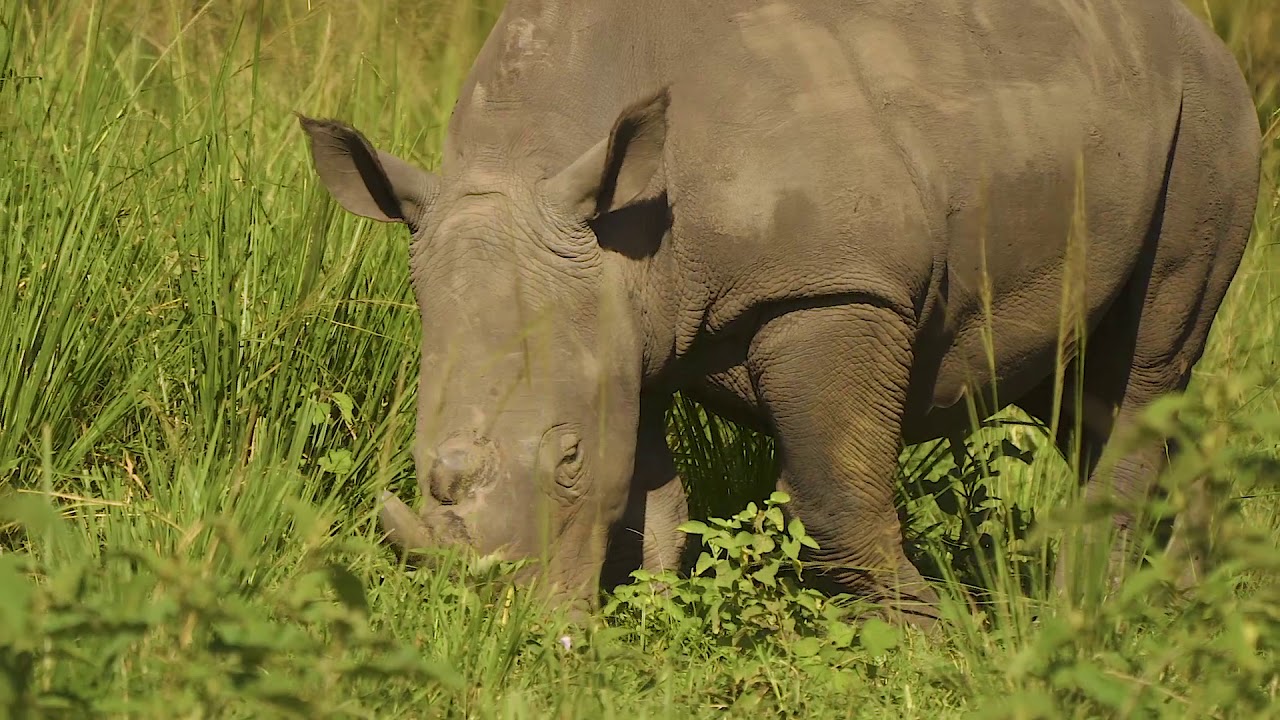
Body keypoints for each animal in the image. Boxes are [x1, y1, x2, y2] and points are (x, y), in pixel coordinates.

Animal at [298, 0, 1261, 627]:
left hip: (1211, 120)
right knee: (1081, 390)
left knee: (1140, 370)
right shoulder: (627, 318)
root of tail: (1208, 36)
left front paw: (938, 641)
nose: (508, 635)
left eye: (565, 458)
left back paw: (1086, 617)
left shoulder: (836, 283)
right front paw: (641, 623)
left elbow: (831, 490)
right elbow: (652, 493)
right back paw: (1184, 601)